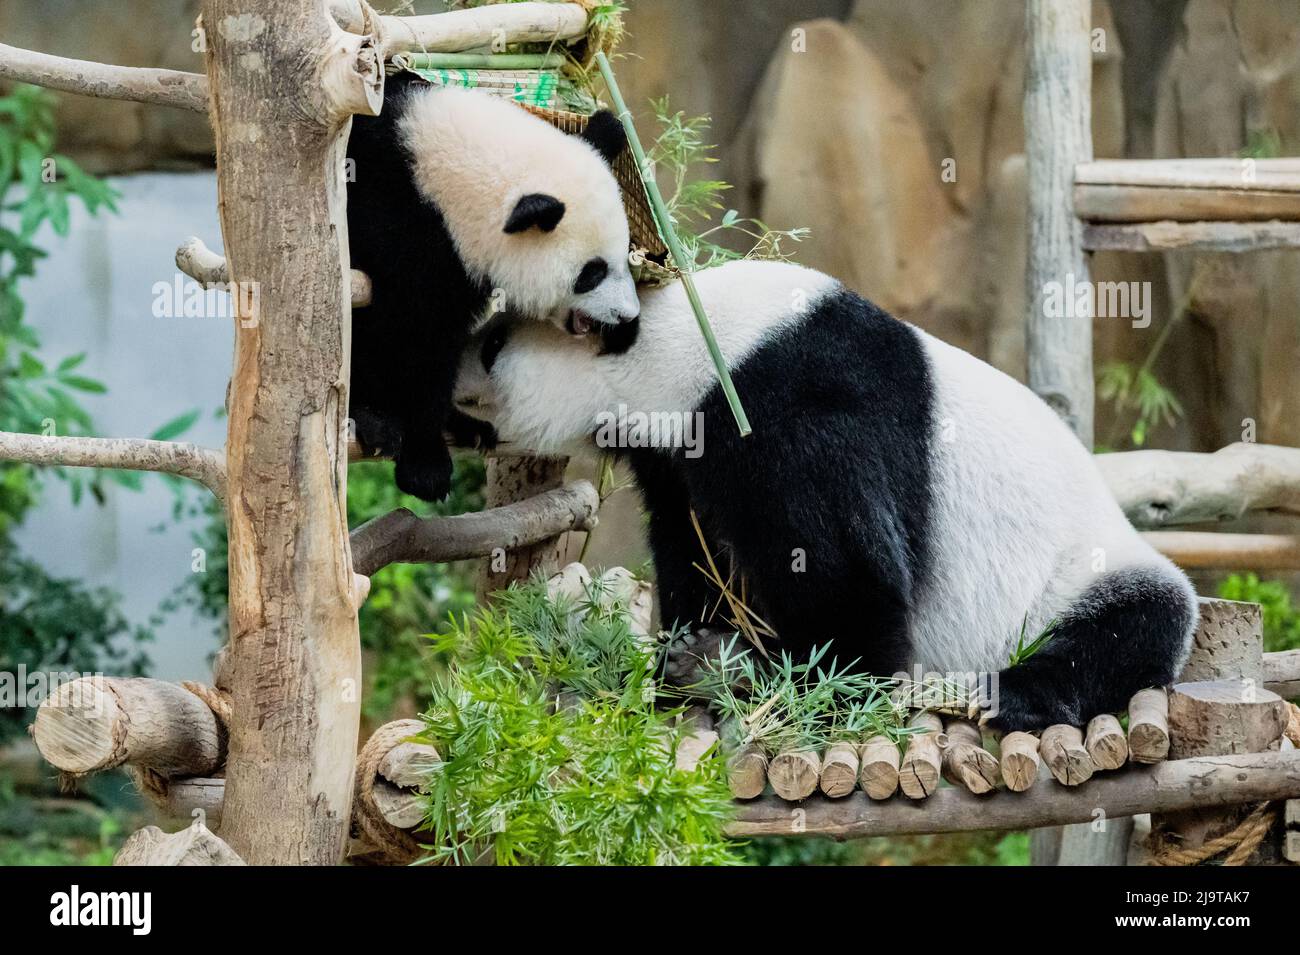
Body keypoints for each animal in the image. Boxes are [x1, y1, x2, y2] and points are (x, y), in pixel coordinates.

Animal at [346, 72, 640, 502]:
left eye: (626, 252)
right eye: (592, 272)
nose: (627, 315)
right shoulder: (399, 226)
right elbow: (409, 334)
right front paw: (423, 463)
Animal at [454, 258, 1199, 730]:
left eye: (491, 346)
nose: (442, 388)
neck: (688, 343)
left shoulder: (792, 408)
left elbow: (846, 574)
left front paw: (797, 679)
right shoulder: (680, 456)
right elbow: (695, 548)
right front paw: (693, 650)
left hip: (1081, 570)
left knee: (1132, 624)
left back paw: (1009, 693)